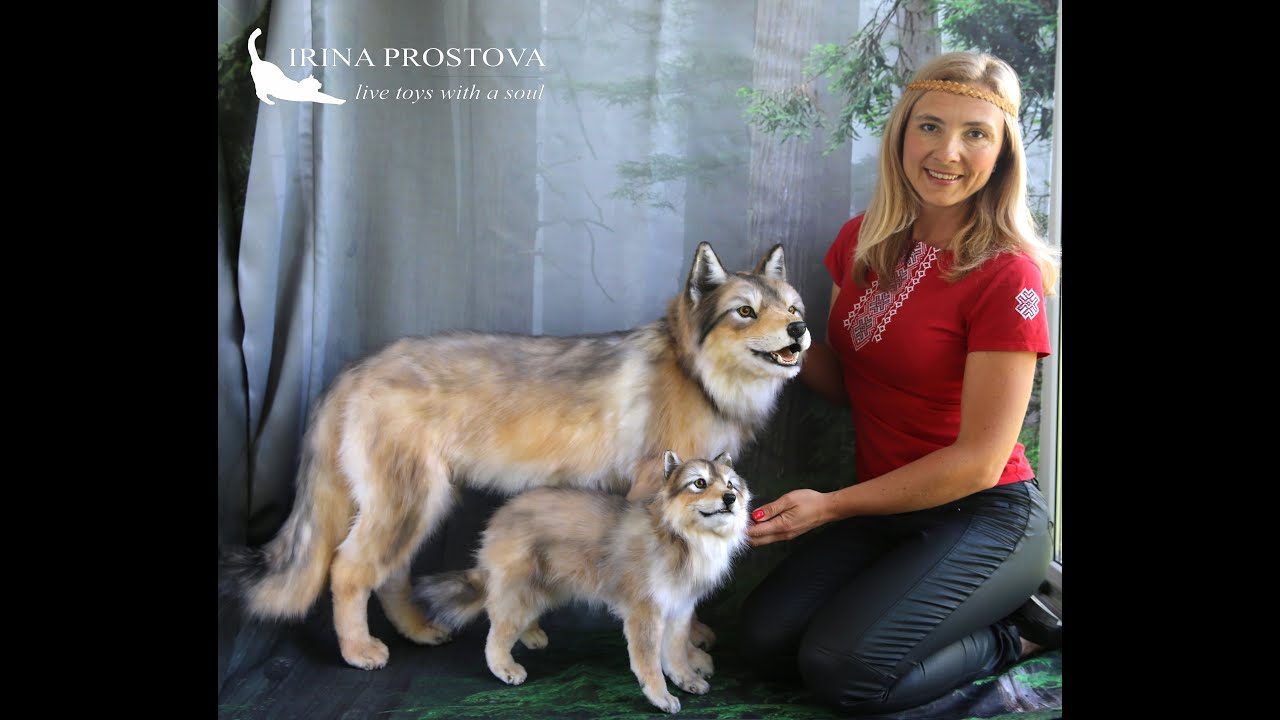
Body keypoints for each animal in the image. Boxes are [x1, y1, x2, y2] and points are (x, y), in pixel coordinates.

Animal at [219, 242, 810, 670]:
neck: (697, 375)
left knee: (388, 574)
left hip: (420, 505)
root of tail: (355, 369)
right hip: (408, 503)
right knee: (348, 570)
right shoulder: (653, 493)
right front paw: (682, 656)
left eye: (792, 307)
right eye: (745, 311)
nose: (800, 330)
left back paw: (419, 631)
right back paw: (359, 651)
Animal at [416, 451, 751, 714]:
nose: (730, 499)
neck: (678, 537)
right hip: (520, 589)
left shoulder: (679, 610)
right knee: (497, 634)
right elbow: (649, 663)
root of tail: (501, 516)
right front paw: (660, 697)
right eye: (699, 483)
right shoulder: (646, 613)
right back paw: (505, 667)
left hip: (547, 587)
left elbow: (676, 653)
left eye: (730, 484)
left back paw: (532, 636)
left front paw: (686, 679)